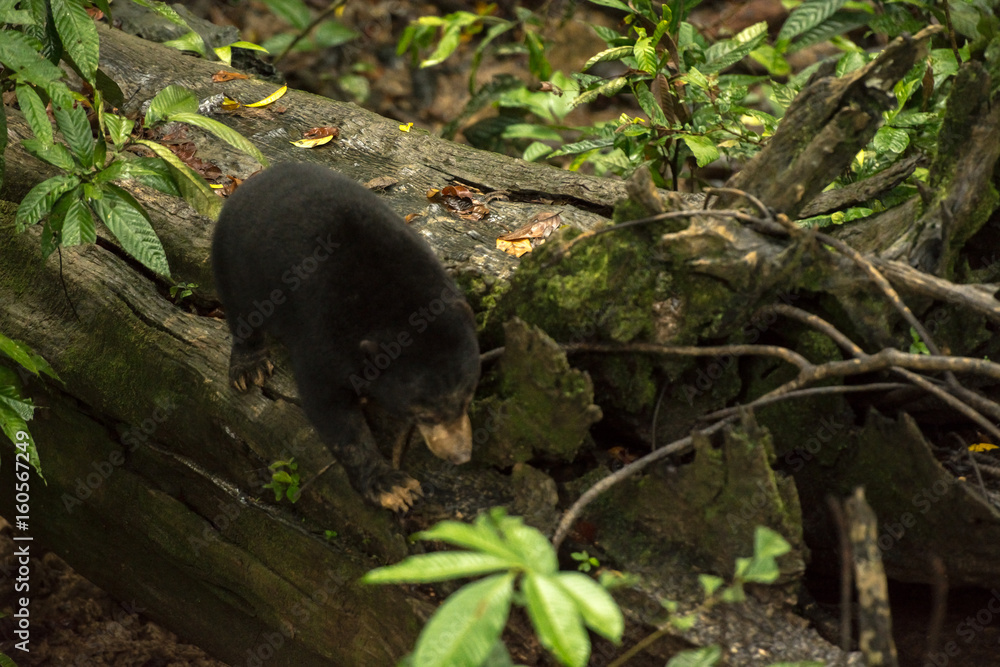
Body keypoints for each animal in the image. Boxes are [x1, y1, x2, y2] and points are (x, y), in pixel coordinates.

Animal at [211, 162, 480, 511]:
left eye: (468, 397)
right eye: (422, 413)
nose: (460, 455)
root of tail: (252, 180)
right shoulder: (323, 331)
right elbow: (330, 409)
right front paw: (392, 487)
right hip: (233, 258)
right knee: (241, 309)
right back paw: (249, 365)